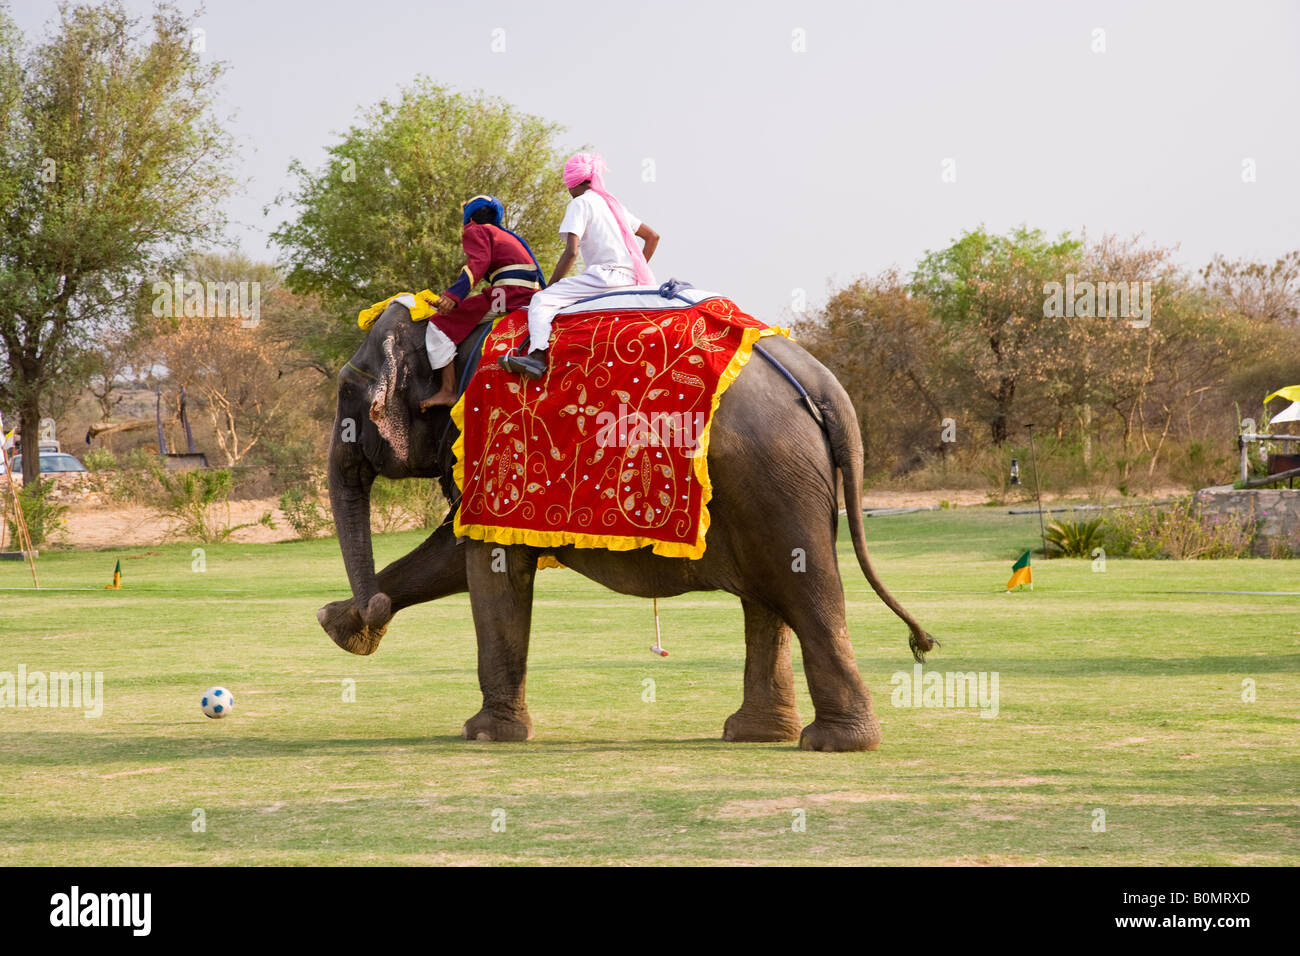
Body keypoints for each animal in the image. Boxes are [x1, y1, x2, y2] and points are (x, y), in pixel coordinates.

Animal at [317, 302, 937, 751]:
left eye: (347, 396)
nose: (369, 610)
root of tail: (821, 381)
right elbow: (456, 553)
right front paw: (339, 623)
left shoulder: (498, 444)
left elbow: (483, 560)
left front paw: (485, 735)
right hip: (770, 485)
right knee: (771, 598)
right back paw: (757, 734)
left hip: (774, 477)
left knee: (806, 594)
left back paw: (833, 743)